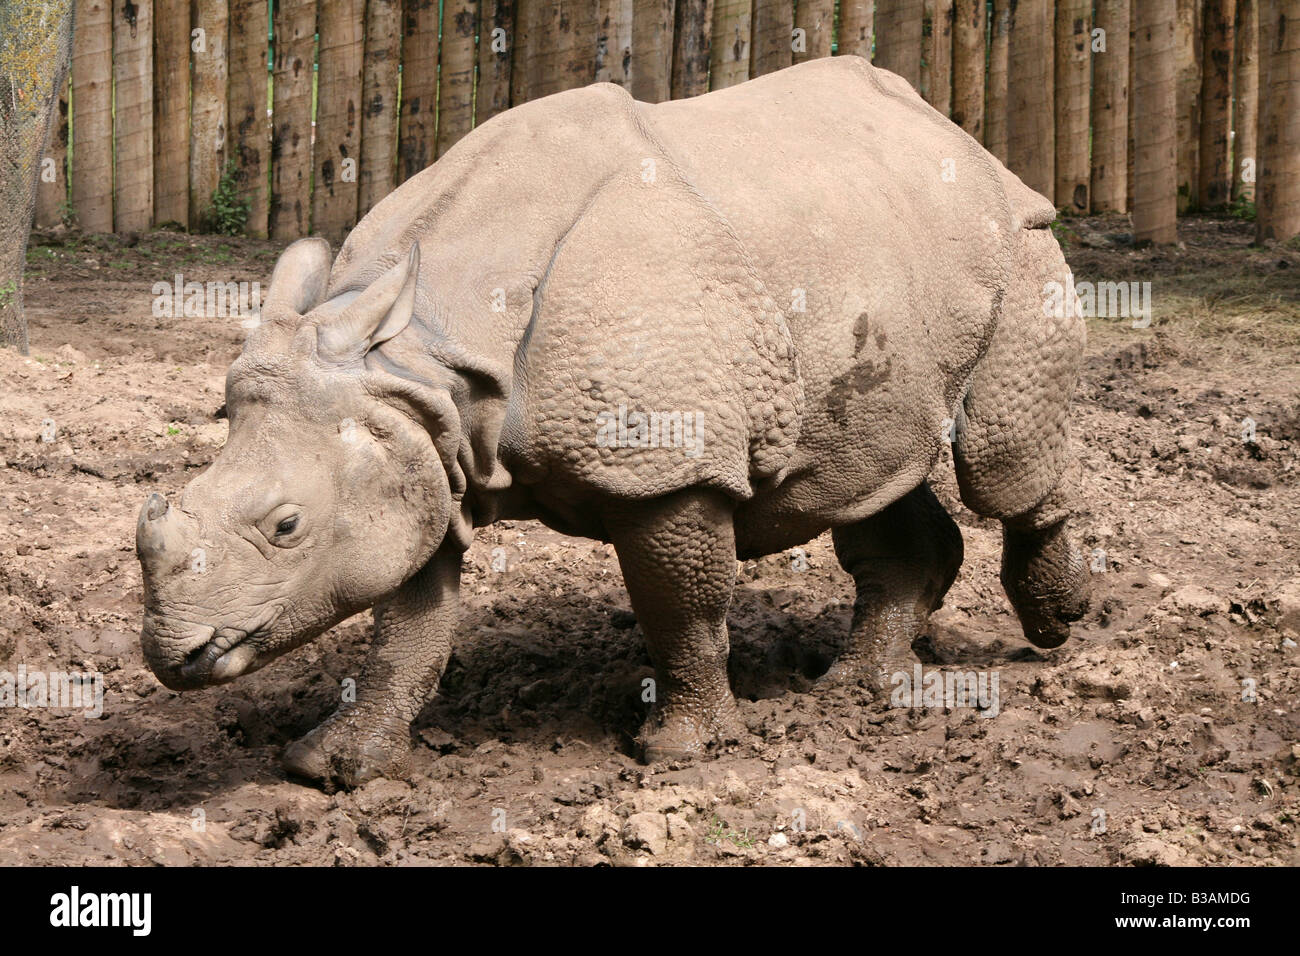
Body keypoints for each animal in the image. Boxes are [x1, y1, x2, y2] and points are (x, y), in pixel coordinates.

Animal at [136, 57, 1089, 789]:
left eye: (286, 526)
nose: (171, 656)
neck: (425, 354)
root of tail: (957, 135)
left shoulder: (667, 470)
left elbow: (682, 609)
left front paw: (682, 750)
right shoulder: (414, 444)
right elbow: (407, 627)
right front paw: (332, 767)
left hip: (1017, 242)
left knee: (1000, 464)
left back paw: (1056, 623)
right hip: (871, 251)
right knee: (863, 472)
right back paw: (855, 688)